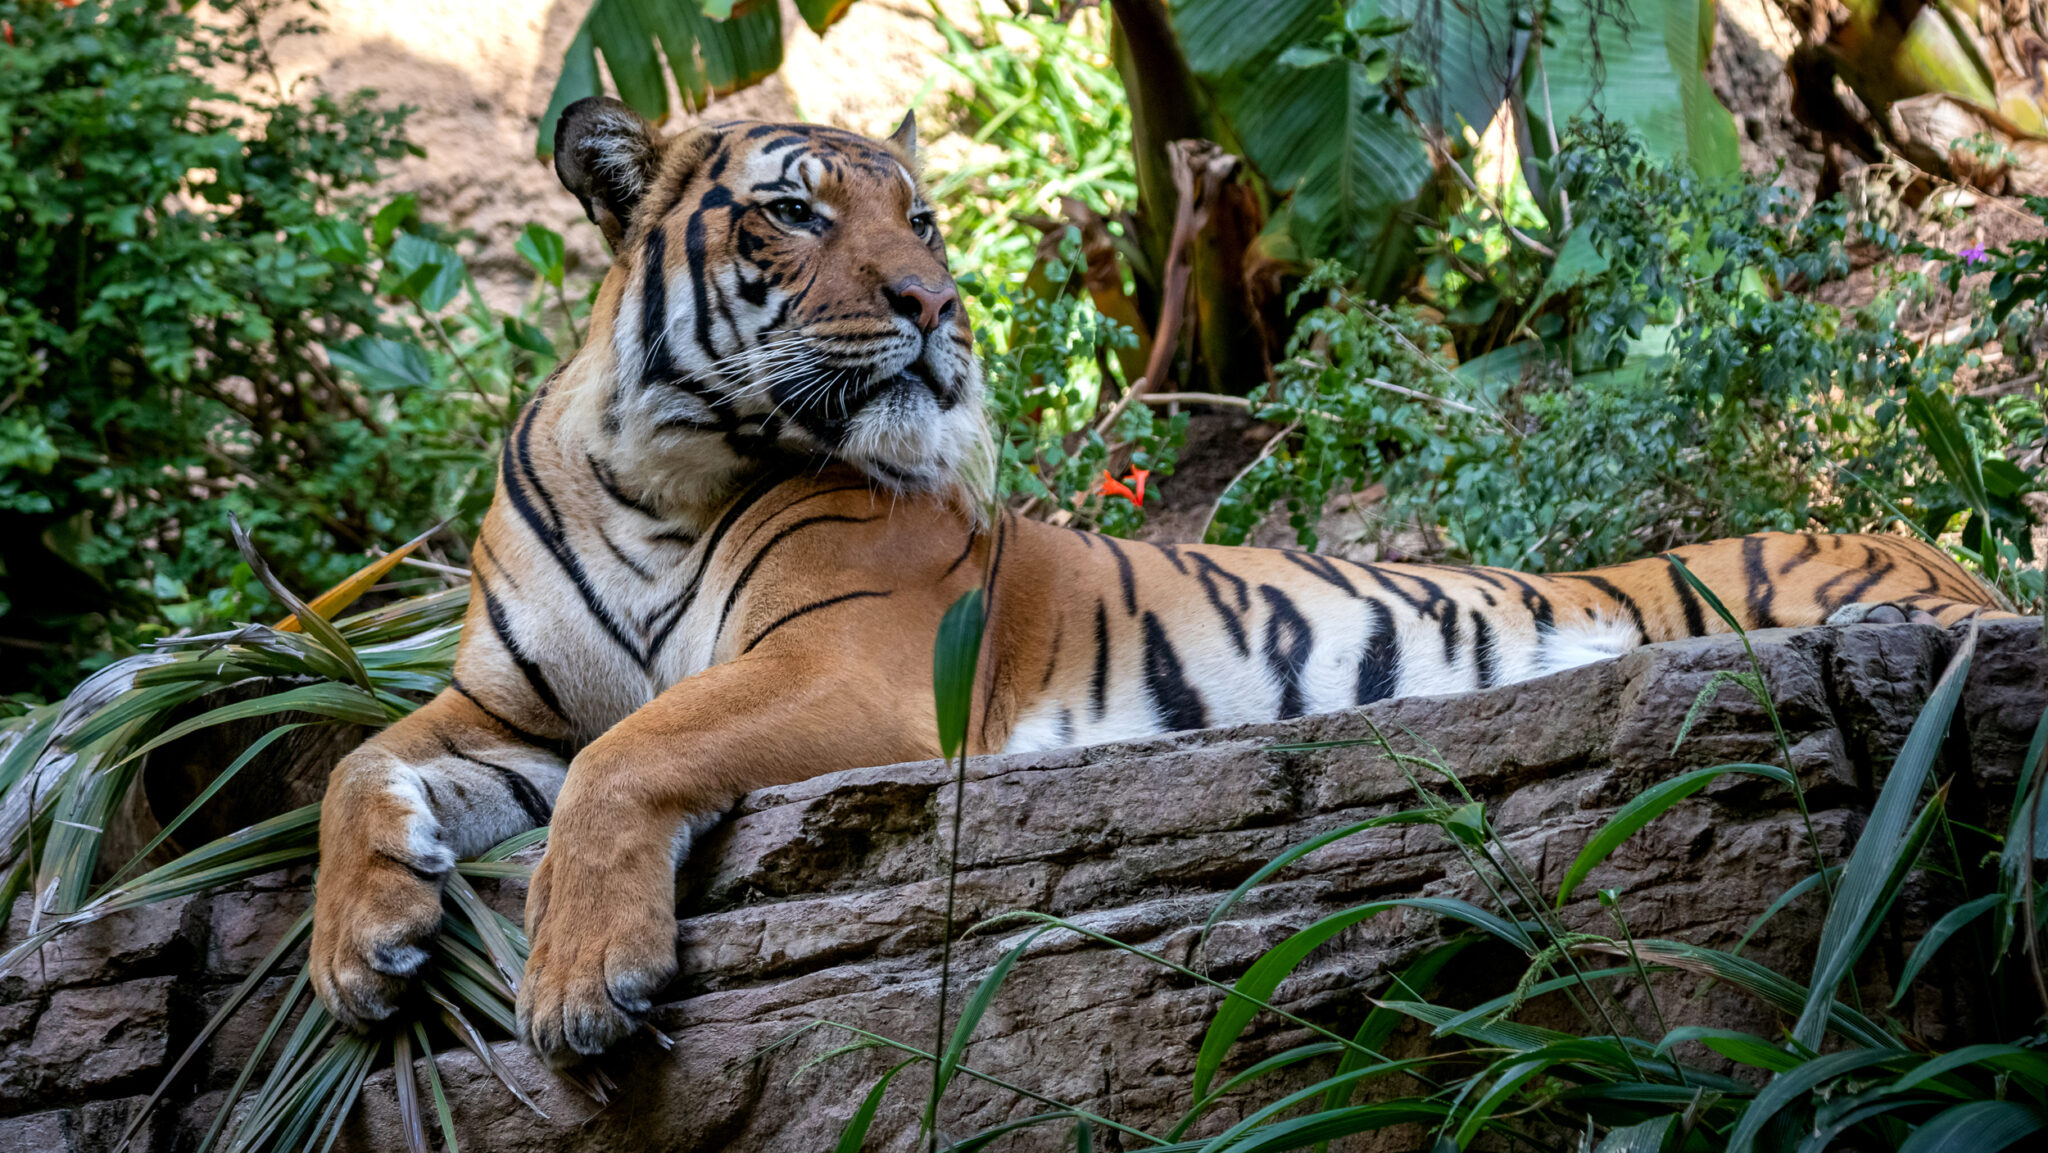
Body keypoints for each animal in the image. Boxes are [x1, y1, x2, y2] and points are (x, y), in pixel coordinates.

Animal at [306, 97, 2014, 1066]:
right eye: (795, 210)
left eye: (921, 218)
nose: (939, 305)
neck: (656, 468)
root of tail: (1936, 537)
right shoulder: (499, 708)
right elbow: (354, 762)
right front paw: (359, 948)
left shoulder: (842, 670)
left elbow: (629, 752)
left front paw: (578, 985)